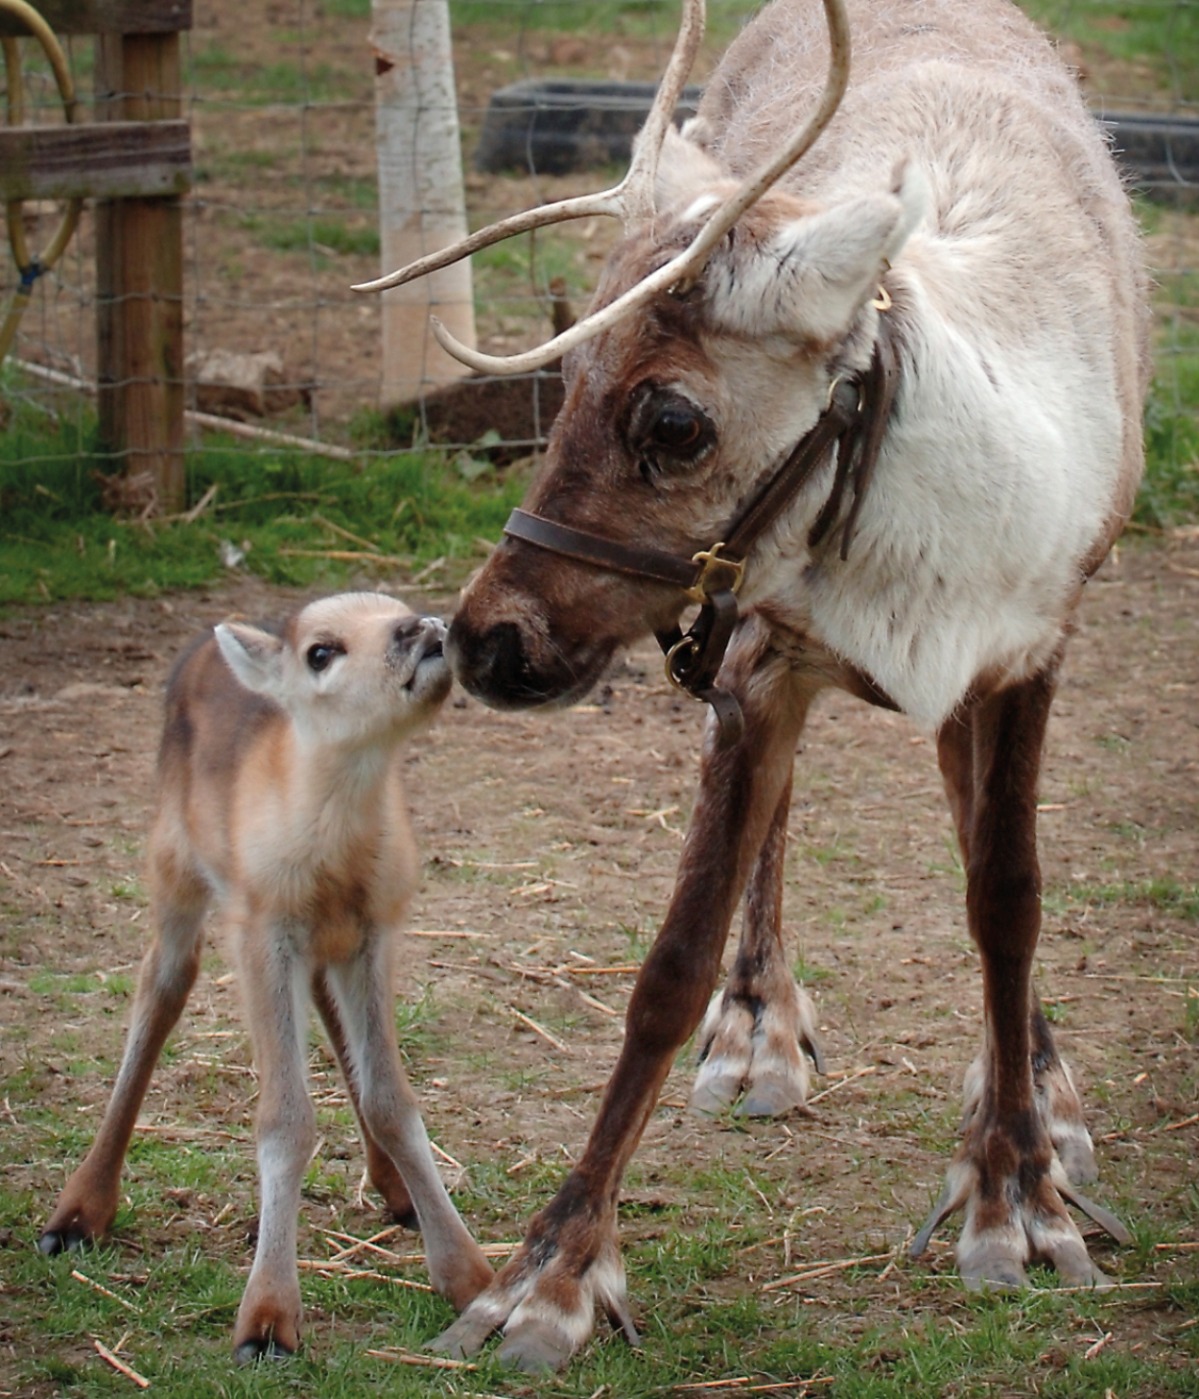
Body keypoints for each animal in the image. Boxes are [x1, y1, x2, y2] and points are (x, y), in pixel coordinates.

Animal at [38, 592, 493, 1360]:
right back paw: (77, 1212)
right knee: (158, 991)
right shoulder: (260, 929)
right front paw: (267, 1319)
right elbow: (284, 1116)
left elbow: (392, 1100)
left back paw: (393, 1186)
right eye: (320, 651)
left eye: (398, 606)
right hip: (174, 866)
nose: (421, 629)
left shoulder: (372, 933)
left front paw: (468, 1273)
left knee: (325, 1015)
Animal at [356, 0, 1149, 1372]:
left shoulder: (1029, 647)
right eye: (563, 383)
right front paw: (547, 1277)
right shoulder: (758, 659)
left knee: (961, 815)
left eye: (672, 420)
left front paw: (1015, 1189)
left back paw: (1036, 1081)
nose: (487, 640)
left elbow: (1005, 896)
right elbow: (666, 967)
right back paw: (761, 1026)